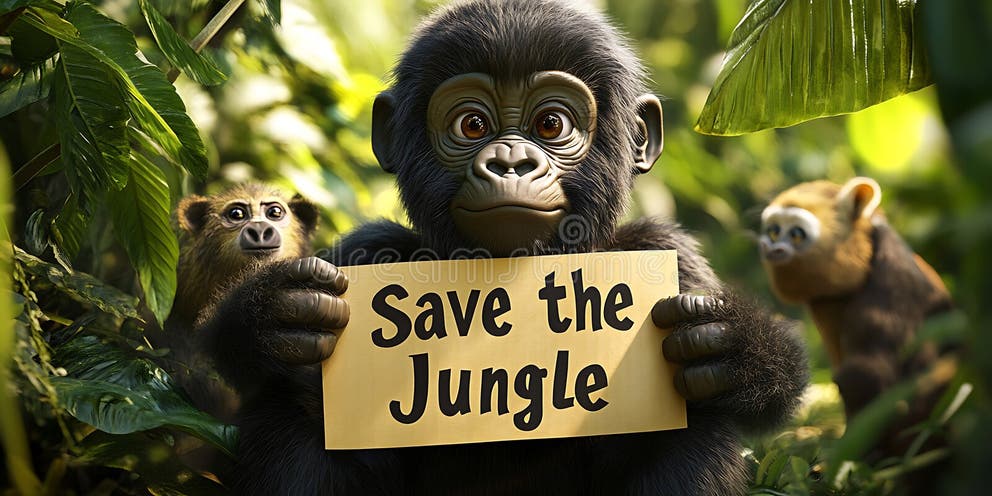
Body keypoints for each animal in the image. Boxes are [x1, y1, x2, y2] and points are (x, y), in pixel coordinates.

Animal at [196, 1, 809, 494]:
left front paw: (730, 342)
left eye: (551, 123)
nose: (510, 161)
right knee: (293, 410)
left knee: (697, 424)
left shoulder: (670, 254)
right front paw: (279, 313)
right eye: (472, 124)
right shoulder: (365, 250)